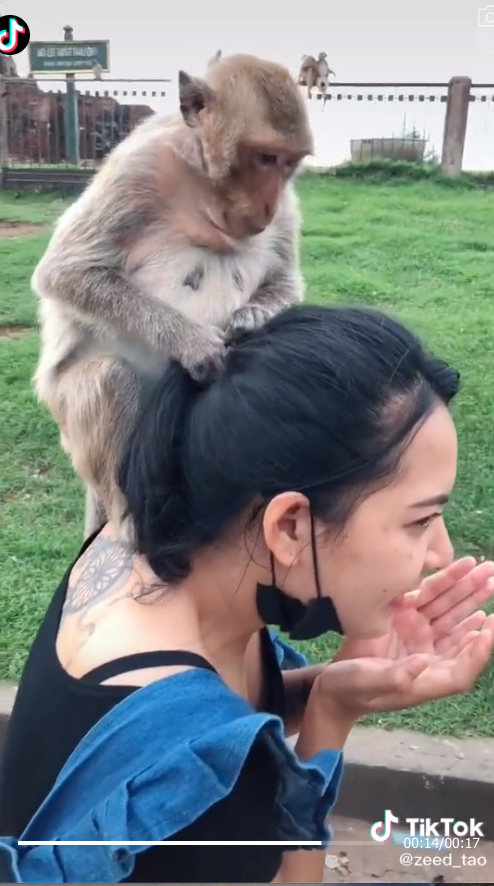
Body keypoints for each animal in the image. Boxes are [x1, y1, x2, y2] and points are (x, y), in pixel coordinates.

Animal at [31, 53, 314, 542]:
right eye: (266, 158)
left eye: (289, 165)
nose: (268, 206)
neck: (202, 186)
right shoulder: (137, 170)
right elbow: (67, 272)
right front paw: (192, 343)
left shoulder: (288, 208)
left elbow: (285, 282)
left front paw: (249, 320)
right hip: (67, 417)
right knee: (109, 377)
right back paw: (129, 519)